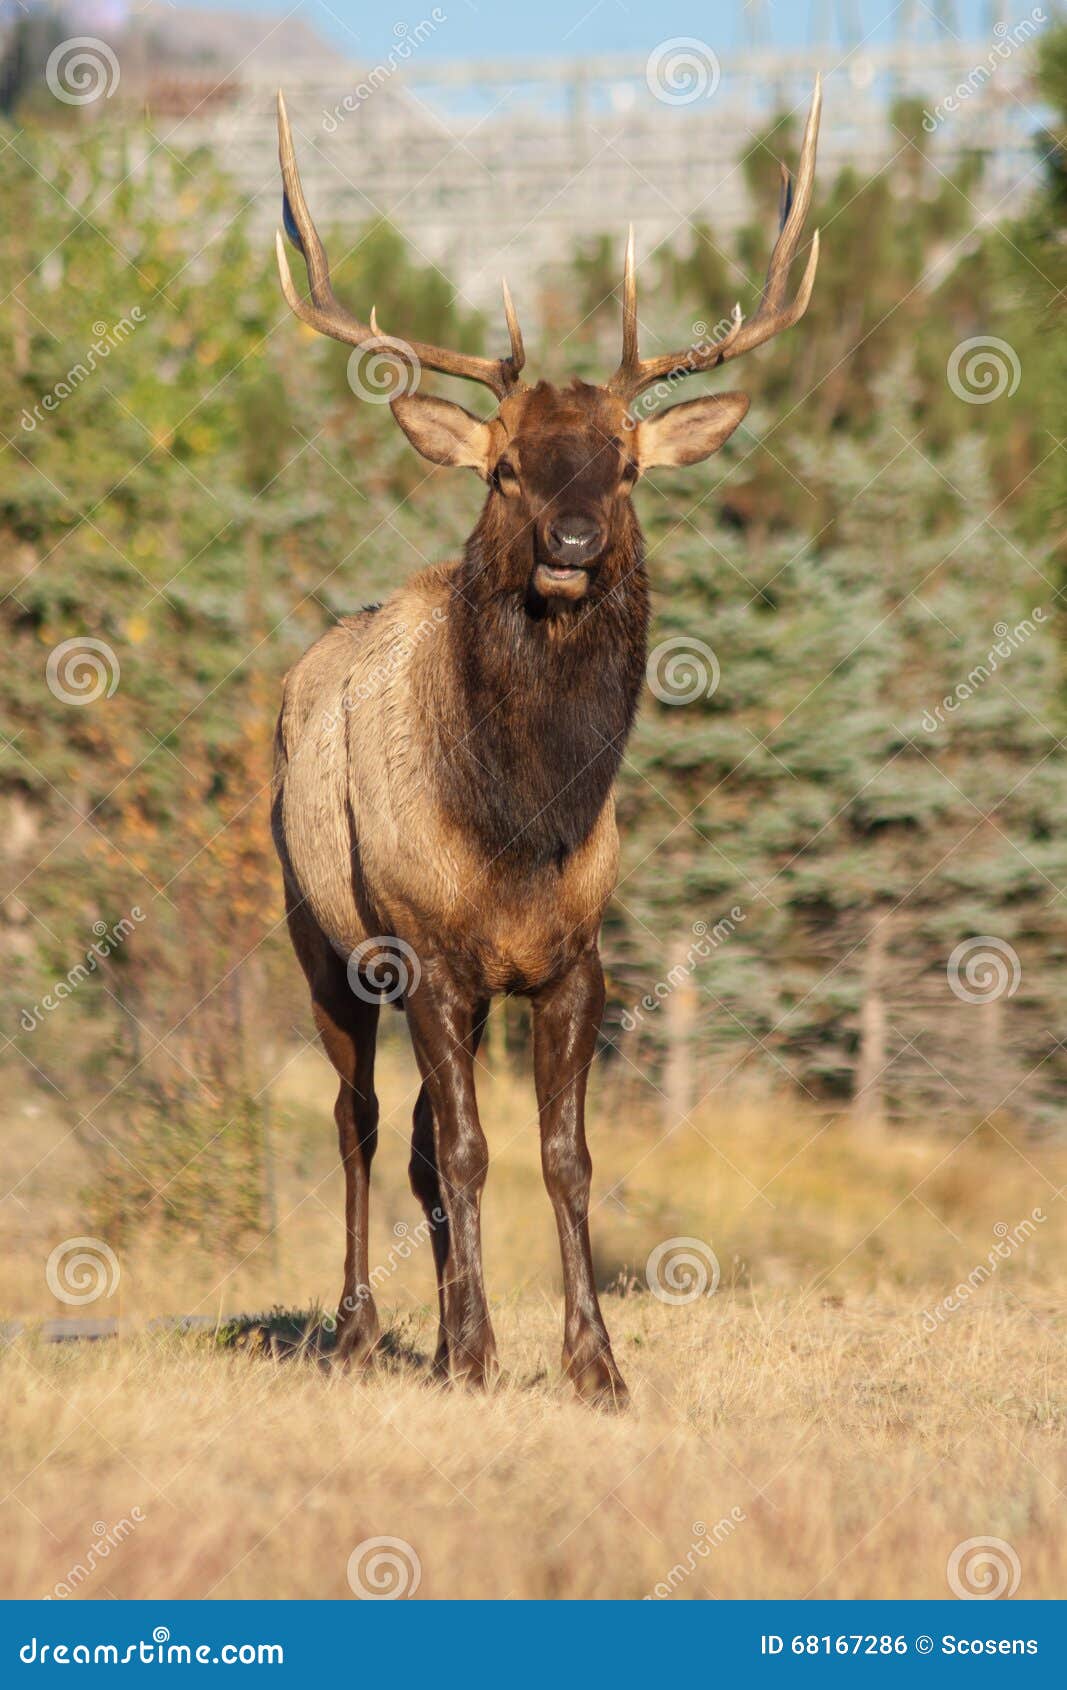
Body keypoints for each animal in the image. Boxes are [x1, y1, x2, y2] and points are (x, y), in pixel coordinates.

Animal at [271, 82, 821, 1407]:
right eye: (508, 467)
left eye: (622, 464)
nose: (572, 540)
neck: (521, 825)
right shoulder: (424, 949)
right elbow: (471, 1151)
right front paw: (477, 1353)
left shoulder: (576, 959)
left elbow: (561, 1155)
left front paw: (588, 1362)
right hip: (318, 939)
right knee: (361, 1121)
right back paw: (363, 1330)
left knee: (416, 1141)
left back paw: (431, 1326)